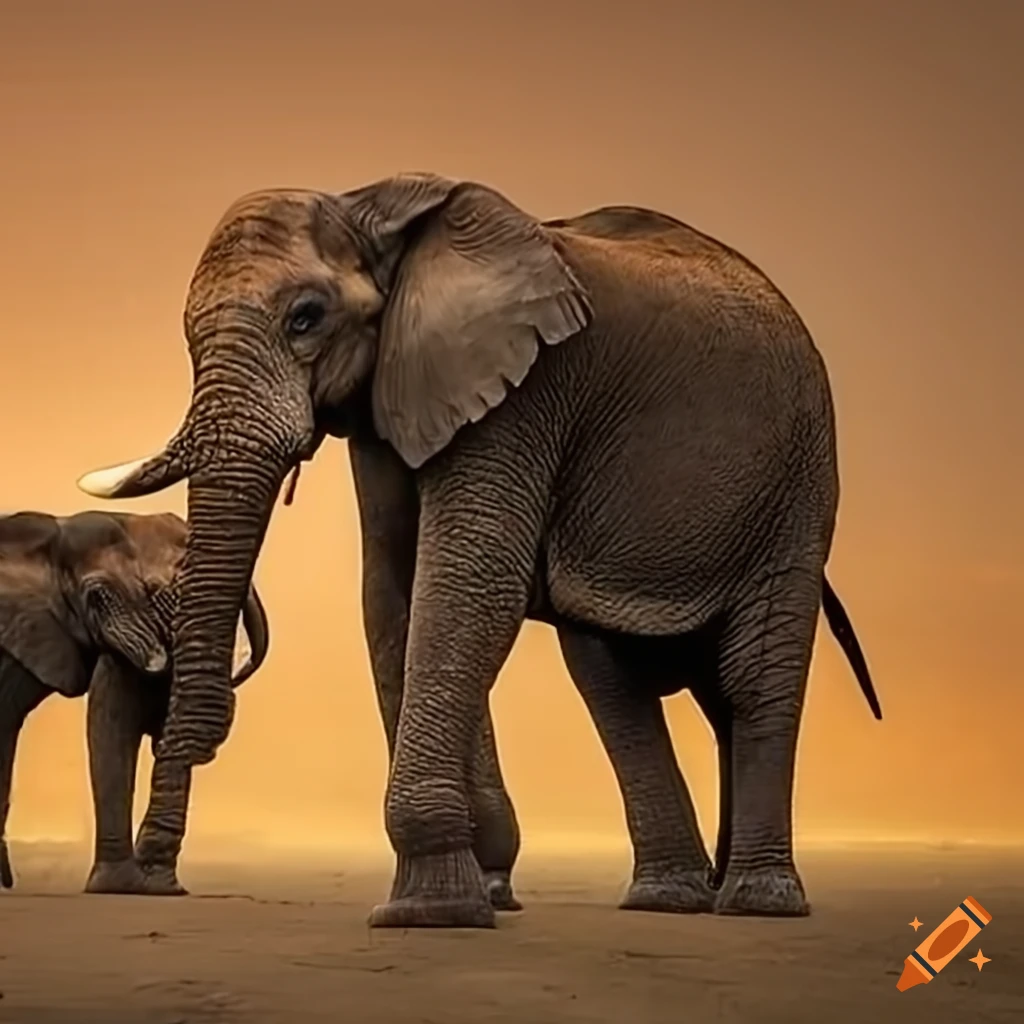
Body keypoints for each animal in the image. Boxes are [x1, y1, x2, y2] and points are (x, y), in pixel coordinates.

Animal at [76, 173, 882, 929]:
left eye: (307, 317)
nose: (162, 872)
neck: (376, 205)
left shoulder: (527, 391)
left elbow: (467, 581)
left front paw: (427, 915)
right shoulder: (394, 396)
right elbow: (392, 596)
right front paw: (471, 894)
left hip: (799, 478)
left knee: (753, 676)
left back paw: (756, 904)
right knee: (611, 681)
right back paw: (668, 900)